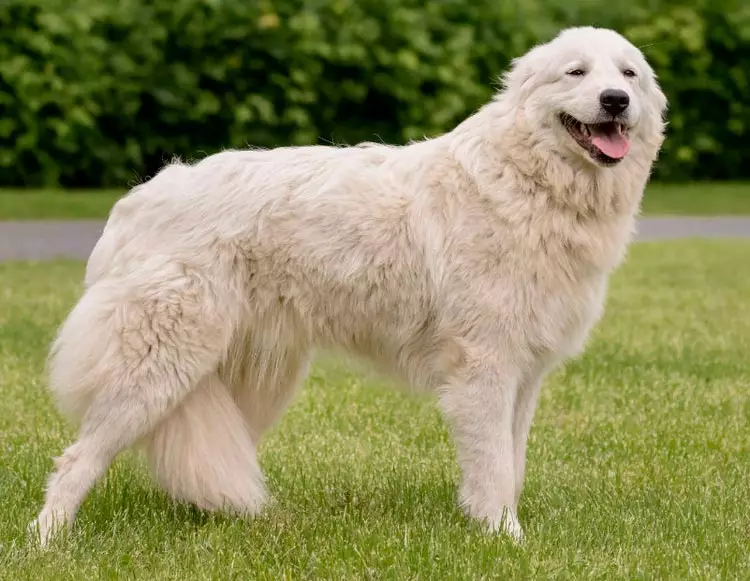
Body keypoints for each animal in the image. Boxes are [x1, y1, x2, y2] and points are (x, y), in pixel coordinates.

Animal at [29, 26, 668, 544]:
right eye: (576, 72)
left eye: (628, 74)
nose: (615, 101)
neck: (528, 180)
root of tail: (137, 200)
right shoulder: (483, 368)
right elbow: (493, 466)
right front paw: (504, 537)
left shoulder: (523, 373)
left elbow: (512, 462)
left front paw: (500, 527)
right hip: (159, 364)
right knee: (77, 459)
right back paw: (48, 540)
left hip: (244, 381)